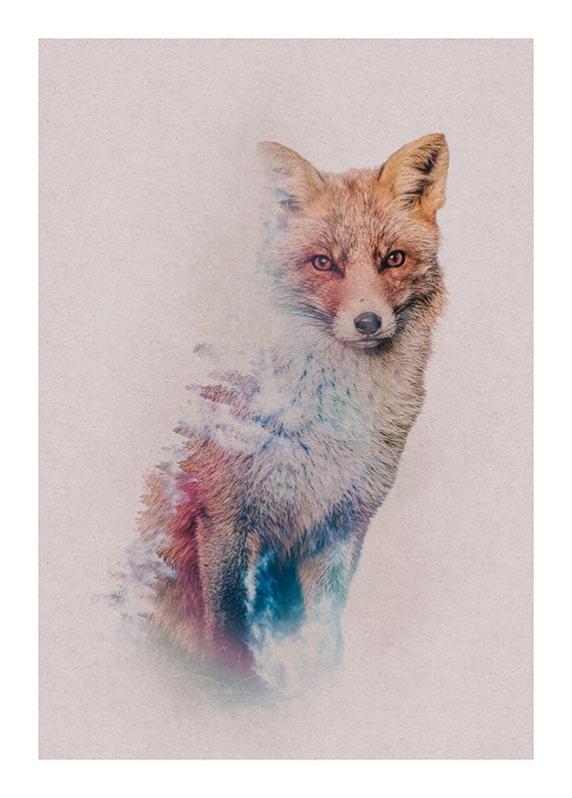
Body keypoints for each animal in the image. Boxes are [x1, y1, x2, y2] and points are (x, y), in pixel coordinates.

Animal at [124, 133, 449, 689]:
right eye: (323, 263)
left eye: (393, 258)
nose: (368, 321)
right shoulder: (224, 516)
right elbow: (230, 631)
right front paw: (236, 692)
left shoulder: (342, 523)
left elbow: (324, 634)